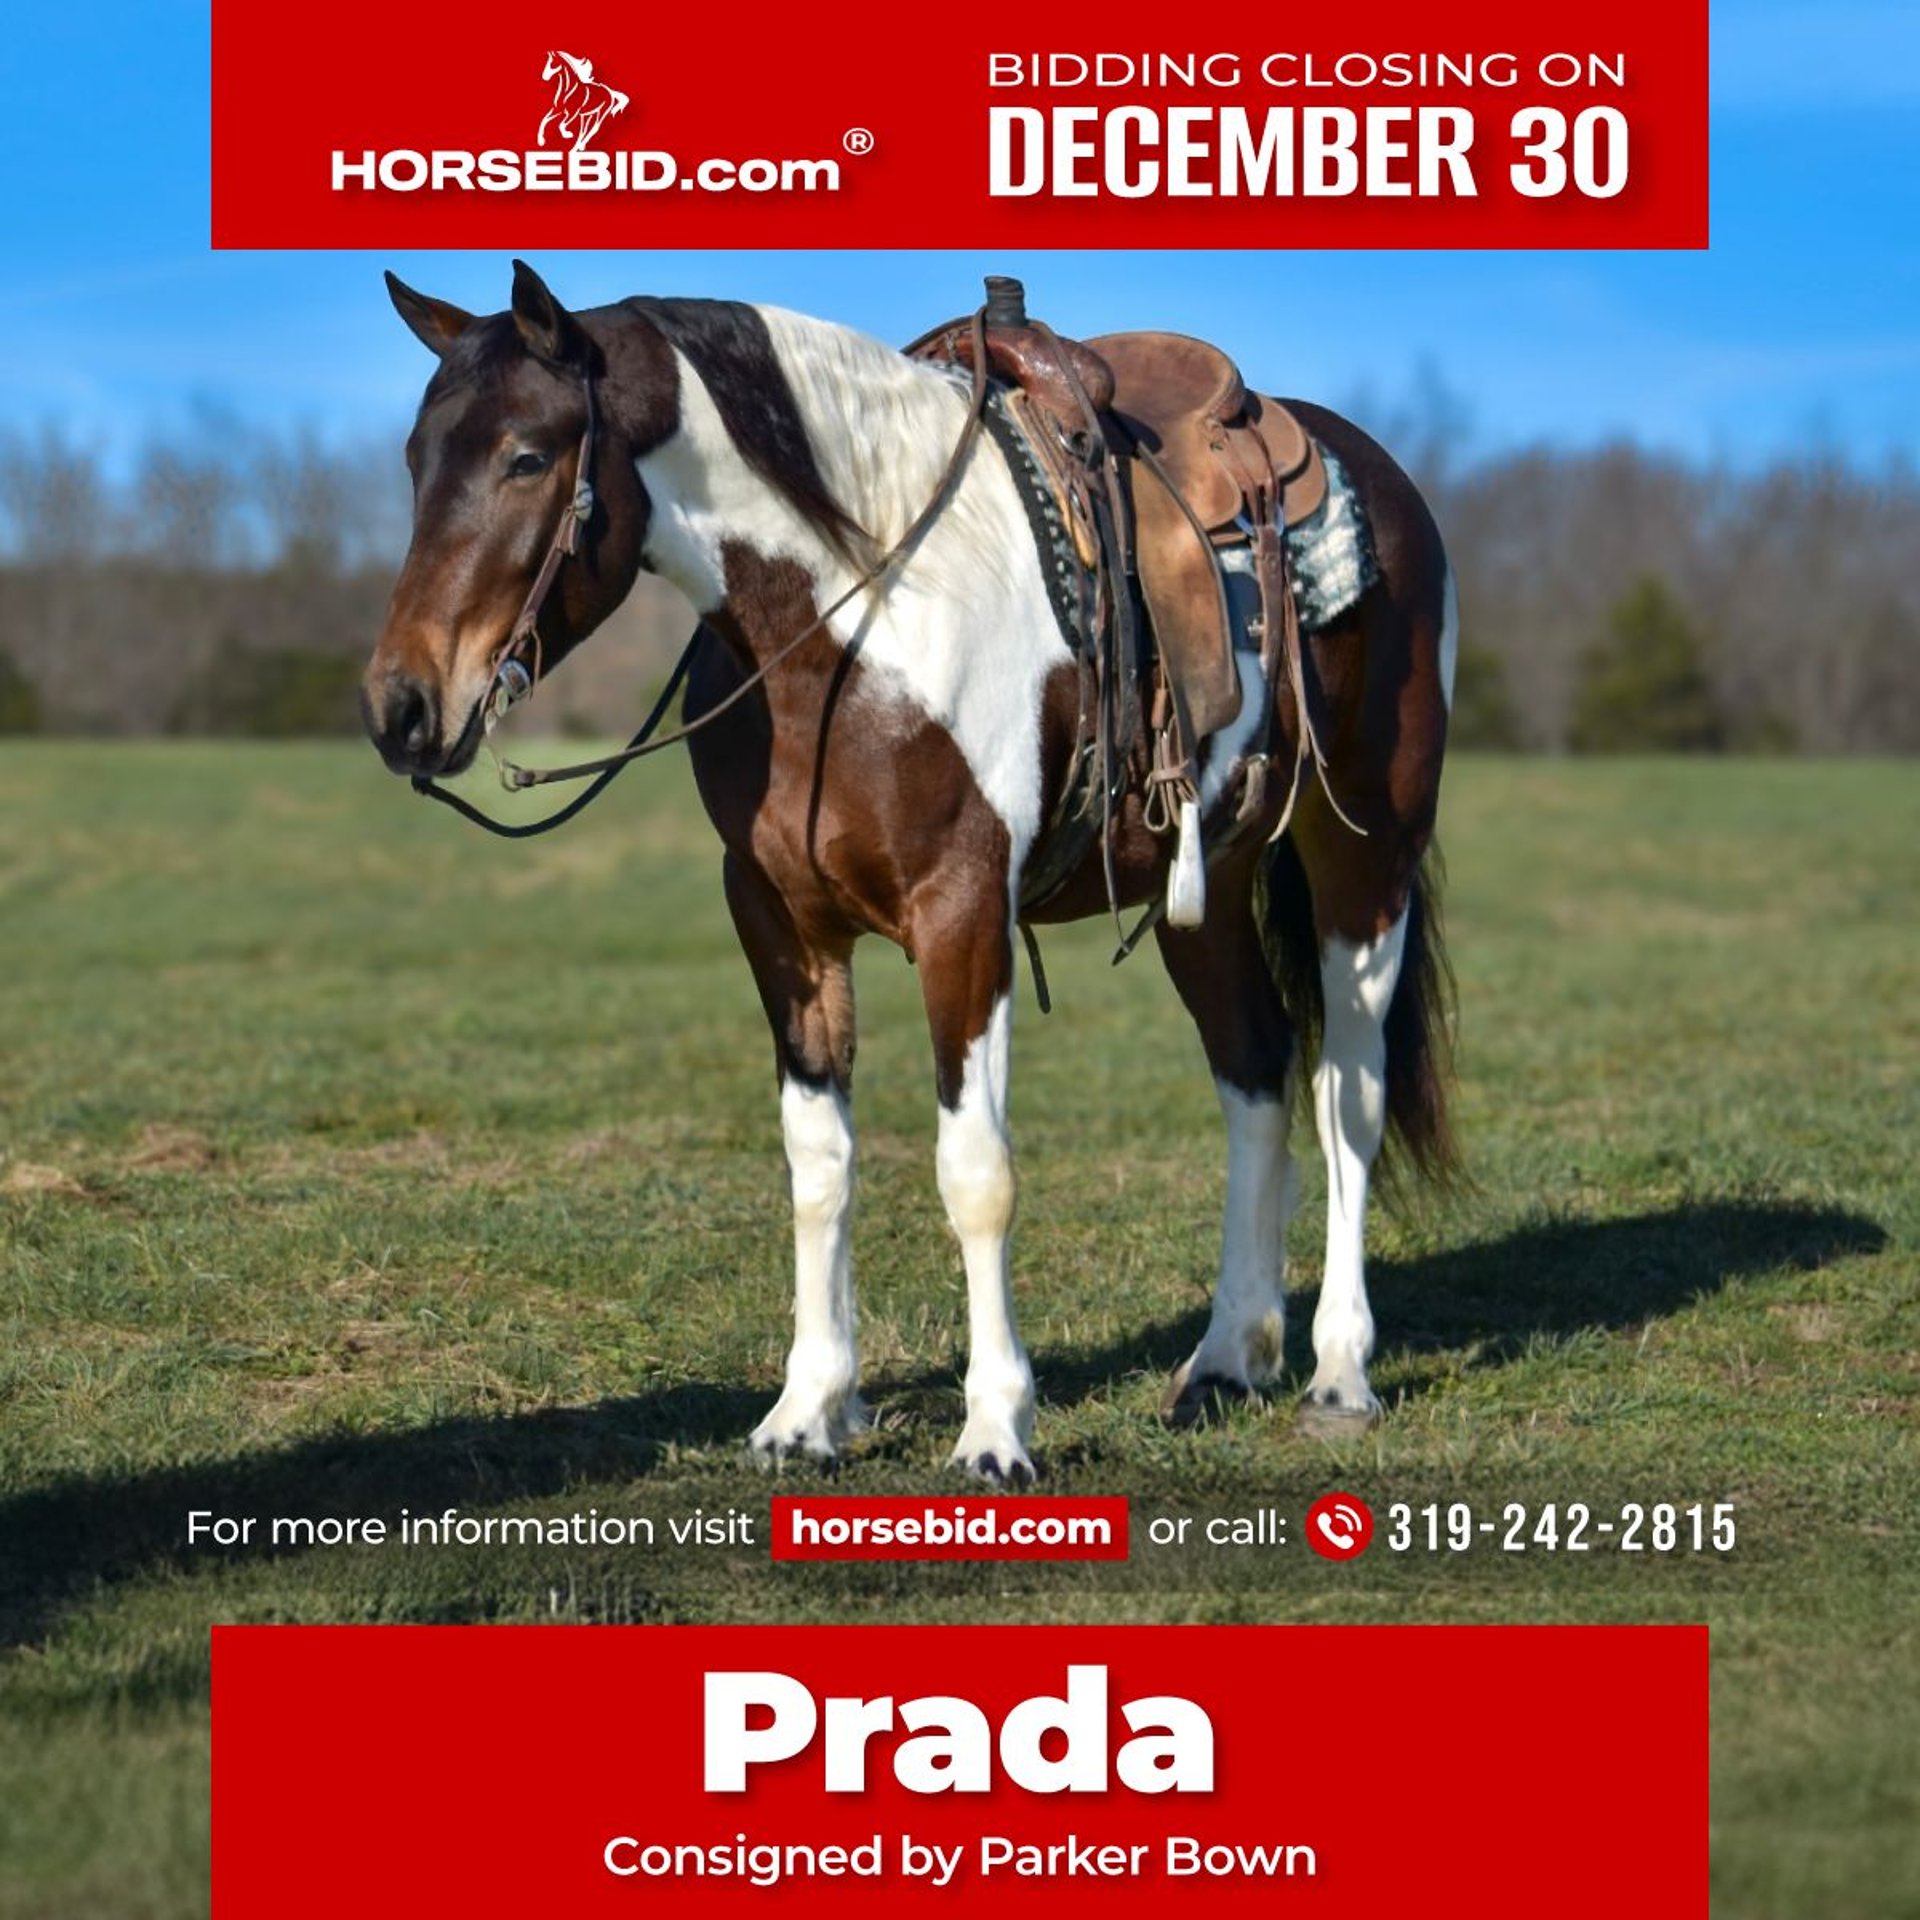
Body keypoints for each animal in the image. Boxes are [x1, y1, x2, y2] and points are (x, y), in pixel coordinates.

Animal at [363, 261, 1458, 1482]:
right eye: (416, 459)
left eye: (525, 456)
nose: (402, 708)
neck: (860, 625)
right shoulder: (779, 921)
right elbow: (819, 1164)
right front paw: (807, 1412)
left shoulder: (962, 914)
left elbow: (975, 1174)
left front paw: (994, 1430)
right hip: (1203, 891)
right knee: (1257, 1075)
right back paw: (1227, 1359)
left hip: (1366, 857)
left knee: (1346, 1096)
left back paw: (1338, 1374)